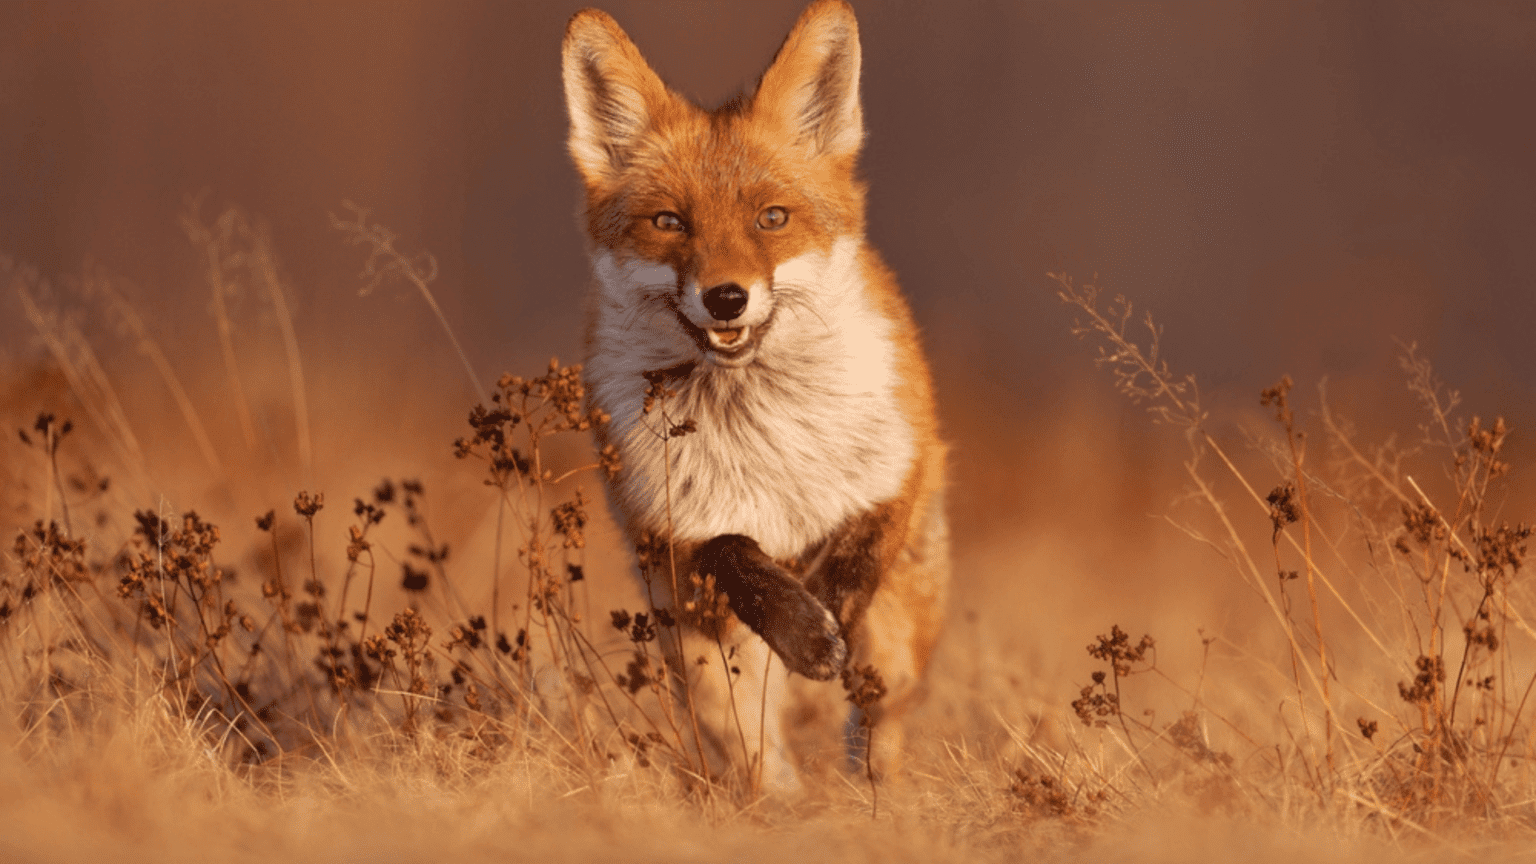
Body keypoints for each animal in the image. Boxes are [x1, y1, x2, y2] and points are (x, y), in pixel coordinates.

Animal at [562, 0, 948, 792]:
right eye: (669, 222)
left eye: (772, 218)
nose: (727, 297)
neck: (764, 430)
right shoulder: (671, 531)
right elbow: (734, 553)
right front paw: (802, 628)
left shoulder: (901, 461)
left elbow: (860, 548)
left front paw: (825, 614)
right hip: (702, 668)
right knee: (755, 754)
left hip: (900, 642)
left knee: (879, 726)